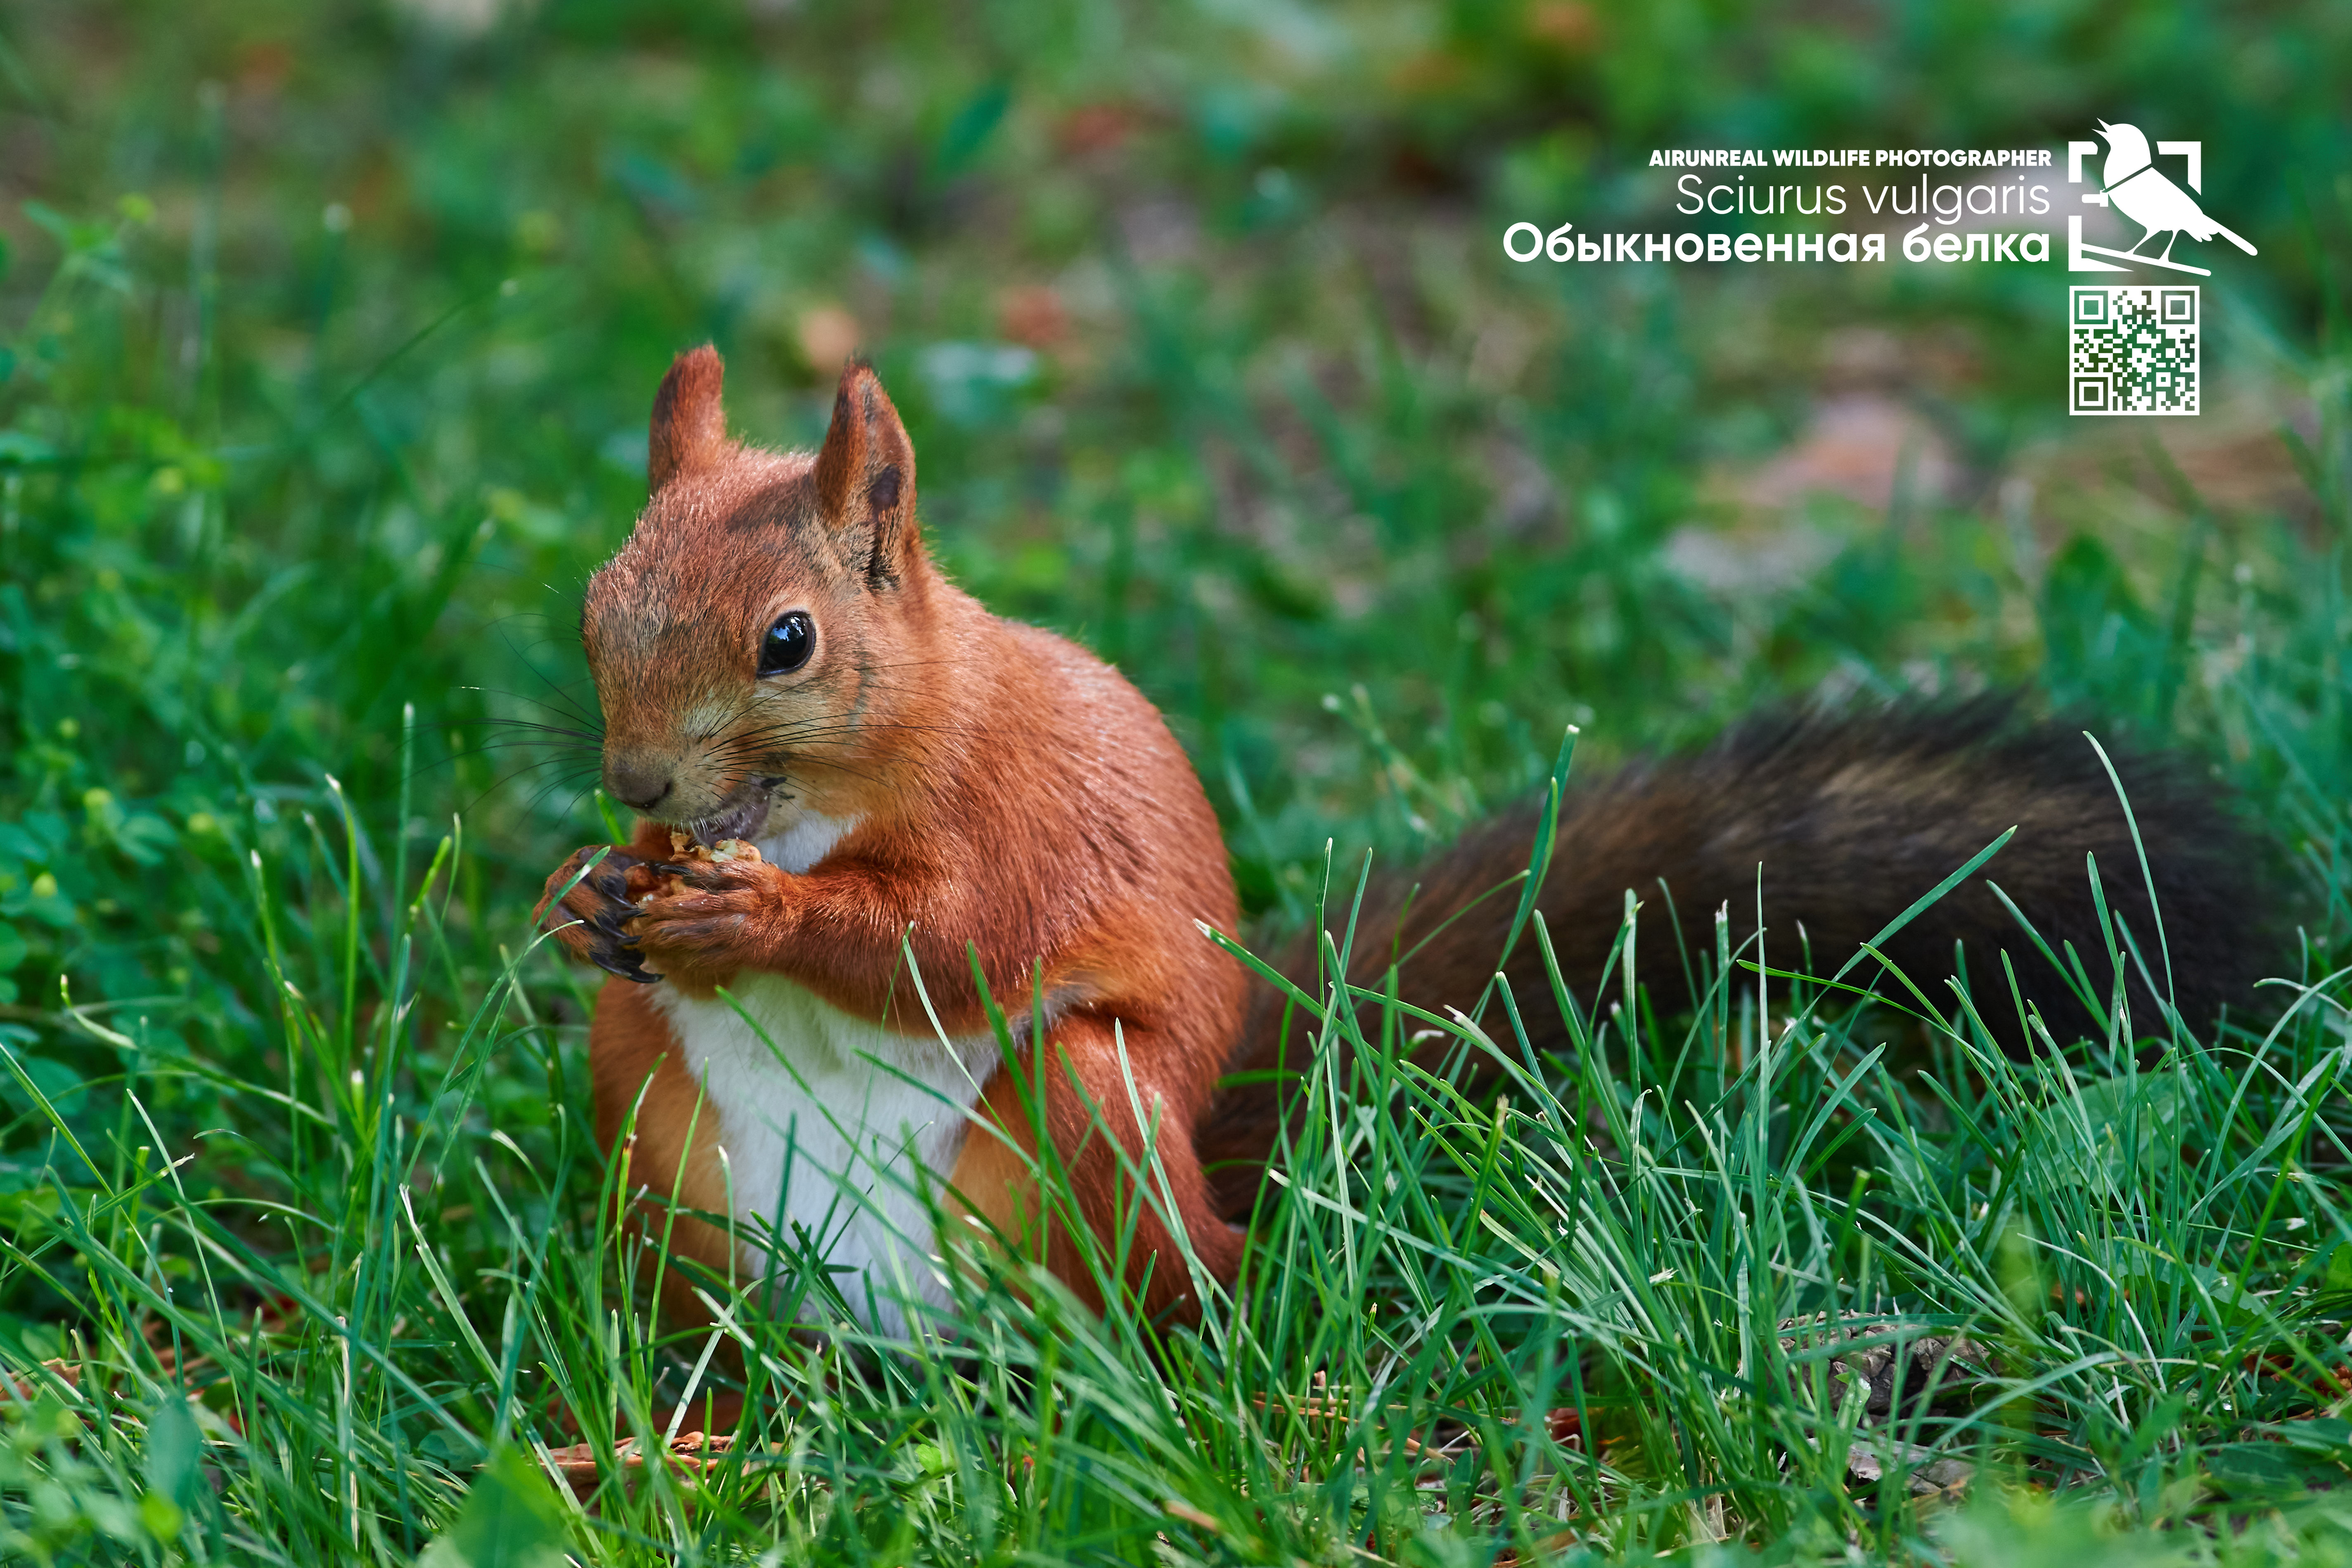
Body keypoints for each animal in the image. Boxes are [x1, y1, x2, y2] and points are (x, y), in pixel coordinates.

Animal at [541, 350, 2267, 1335]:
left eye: (787, 641)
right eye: (596, 602)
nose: (634, 780)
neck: (814, 805)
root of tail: (890, 1333)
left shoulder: (1020, 817)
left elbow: (945, 937)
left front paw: (752, 921)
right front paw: (589, 895)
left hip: (1090, 1115)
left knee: (1145, 1282)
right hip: (660, 1136)